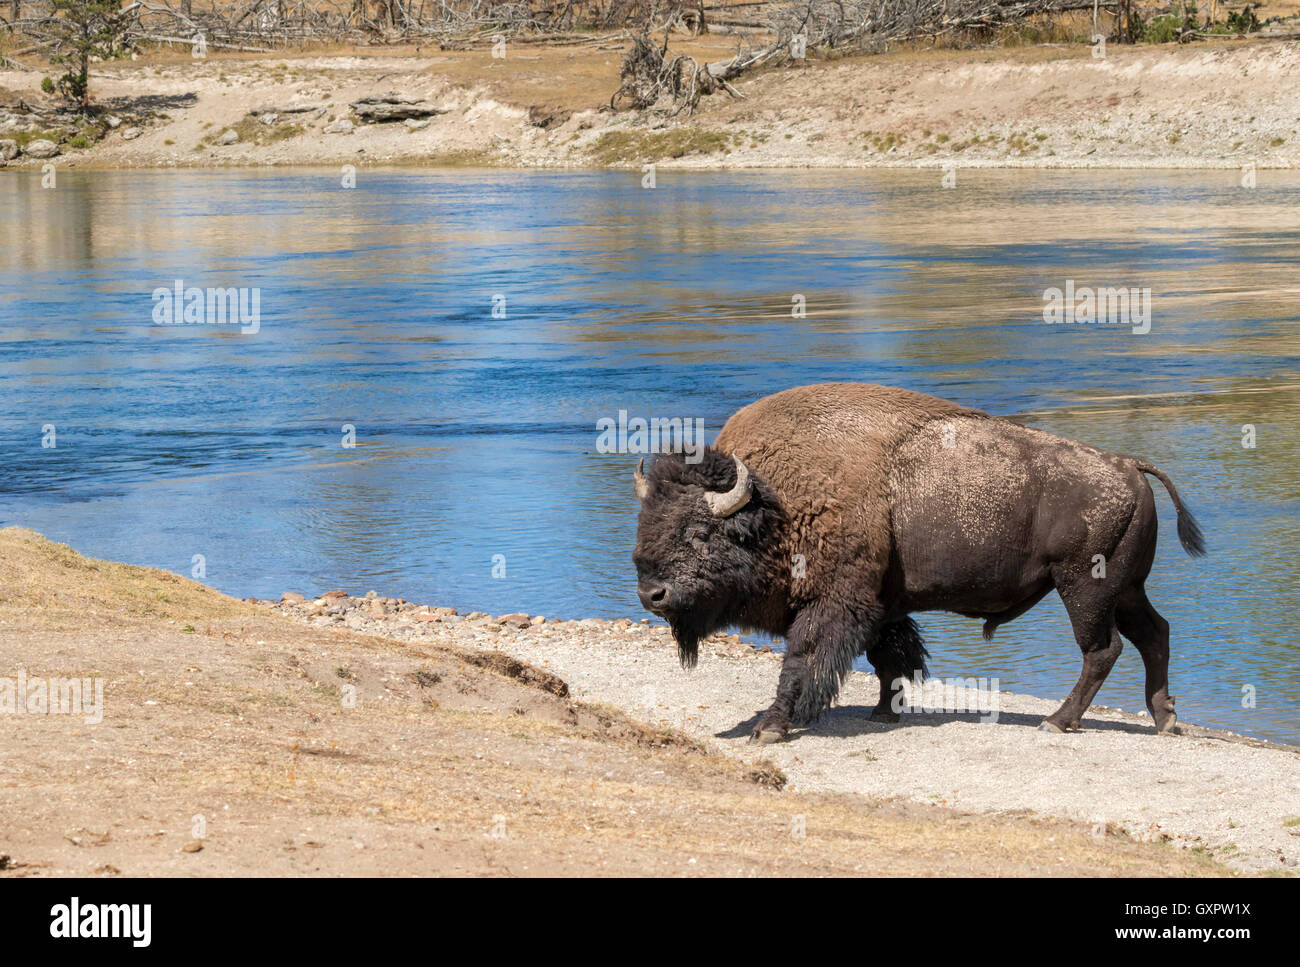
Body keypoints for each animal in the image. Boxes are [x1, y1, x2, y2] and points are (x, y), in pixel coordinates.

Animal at [632, 383, 1205, 743]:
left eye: (701, 533)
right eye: (645, 524)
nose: (651, 594)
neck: (775, 504)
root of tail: (1128, 465)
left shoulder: (833, 603)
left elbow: (802, 661)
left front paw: (770, 728)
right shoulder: (881, 604)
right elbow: (890, 656)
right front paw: (883, 713)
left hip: (1084, 588)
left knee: (1102, 649)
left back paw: (1059, 721)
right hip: (1125, 589)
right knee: (1154, 634)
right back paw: (1164, 719)